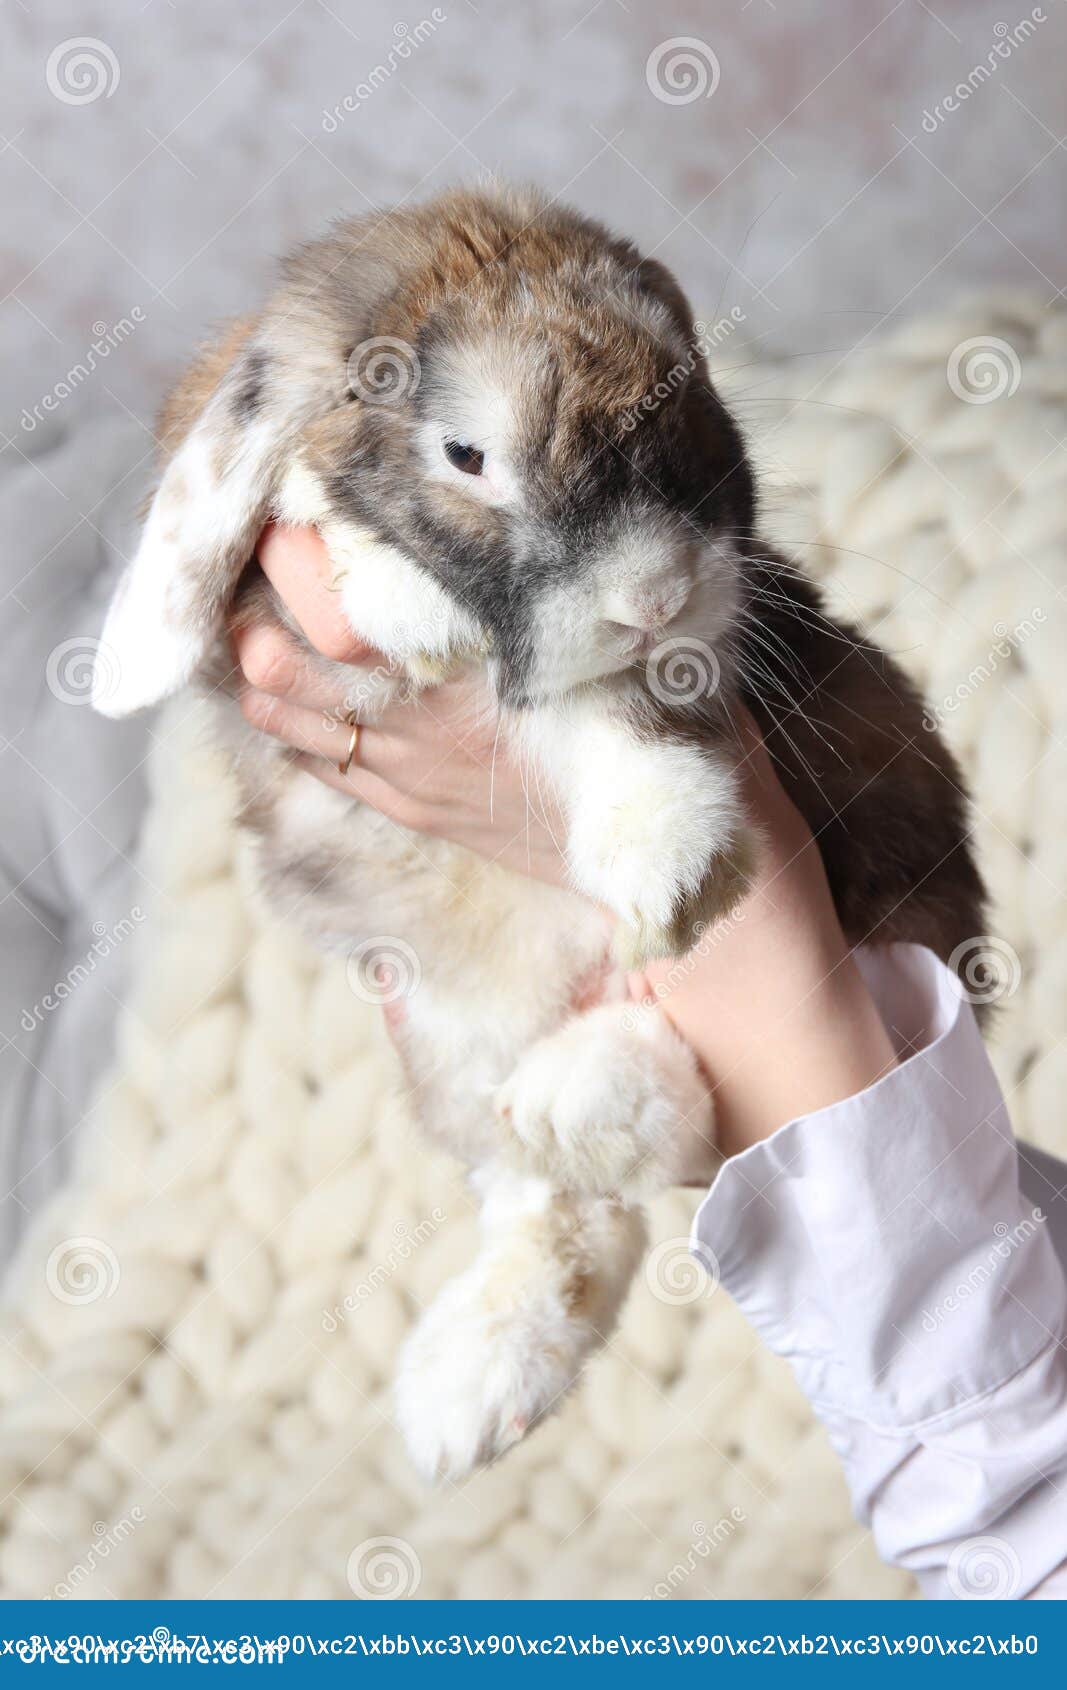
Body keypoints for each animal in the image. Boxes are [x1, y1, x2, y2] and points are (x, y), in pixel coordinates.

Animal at [91, 183, 986, 1482]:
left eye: (687, 401)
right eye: (465, 454)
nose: (654, 595)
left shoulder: (693, 659)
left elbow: (607, 704)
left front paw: (665, 860)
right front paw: (389, 593)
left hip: (886, 907)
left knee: (722, 1127)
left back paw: (582, 1096)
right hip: (448, 1023)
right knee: (573, 1195)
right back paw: (472, 1380)